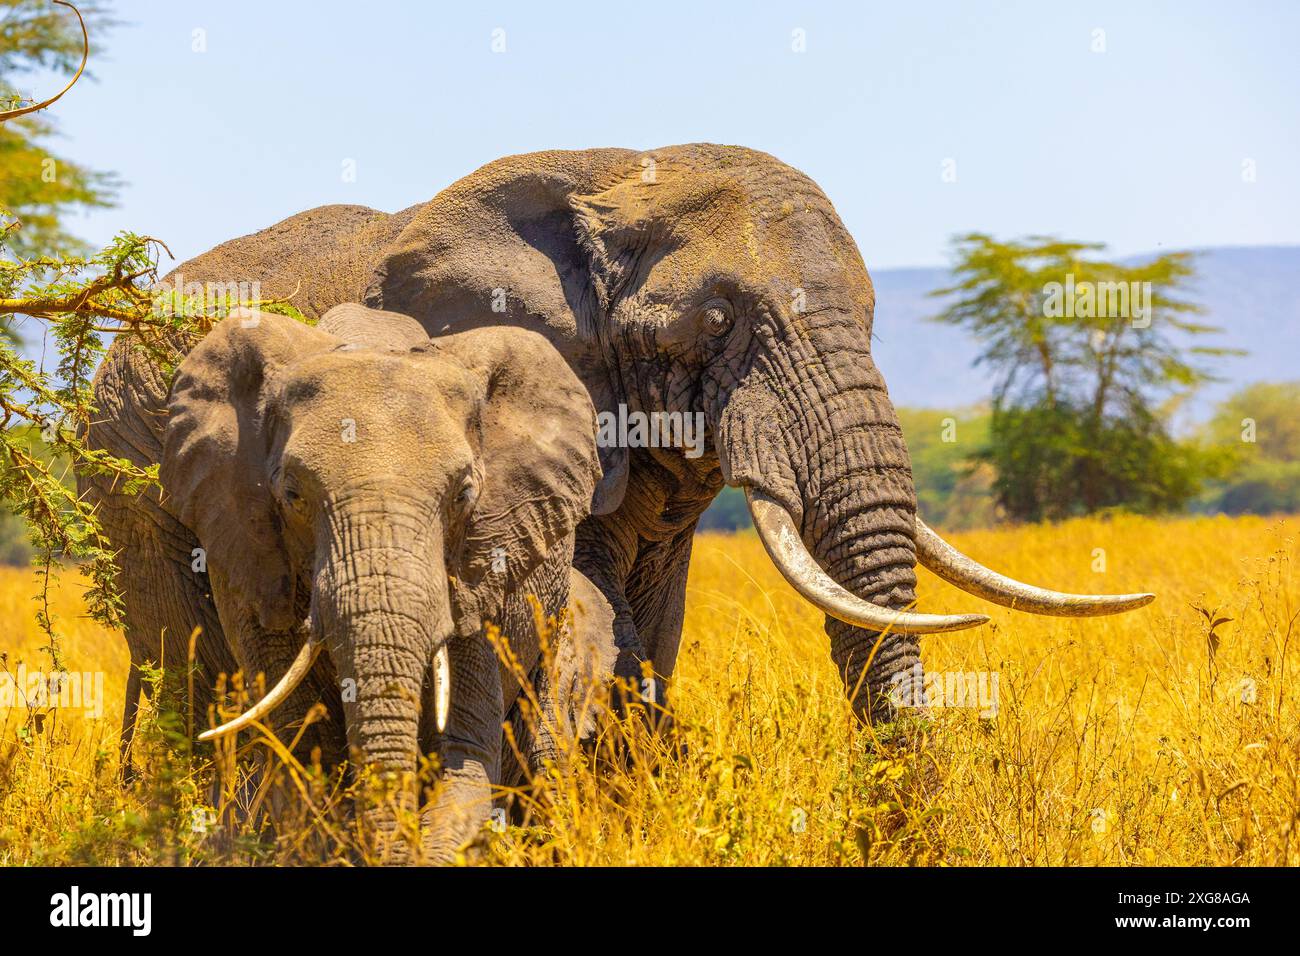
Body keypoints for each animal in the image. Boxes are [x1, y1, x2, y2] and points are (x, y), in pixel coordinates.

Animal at [83, 300, 616, 862]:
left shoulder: (483, 569)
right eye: (293, 495)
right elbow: (300, 752)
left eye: (464, 495)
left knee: (546, 743)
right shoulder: (248, 555)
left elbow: (466, 760)